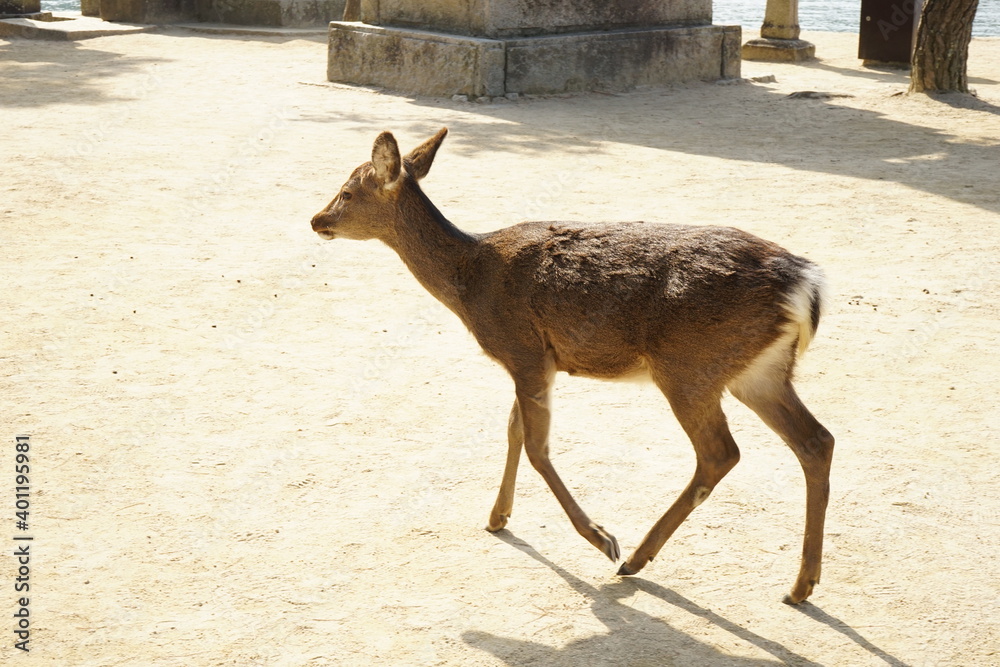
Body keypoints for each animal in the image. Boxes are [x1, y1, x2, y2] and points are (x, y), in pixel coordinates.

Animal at [310, 128, 835, 604]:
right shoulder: (531, 361)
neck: (469, 282)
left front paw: (600, 537)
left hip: (689, 366)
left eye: (348, 191)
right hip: (760, 371)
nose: (317, 219)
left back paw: (634, 558)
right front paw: (497, 517)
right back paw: (800, 586)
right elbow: (514, 431)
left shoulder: (523, 348)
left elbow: (536, 447)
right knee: (816, 441)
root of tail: (805, 284)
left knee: (721, 452)